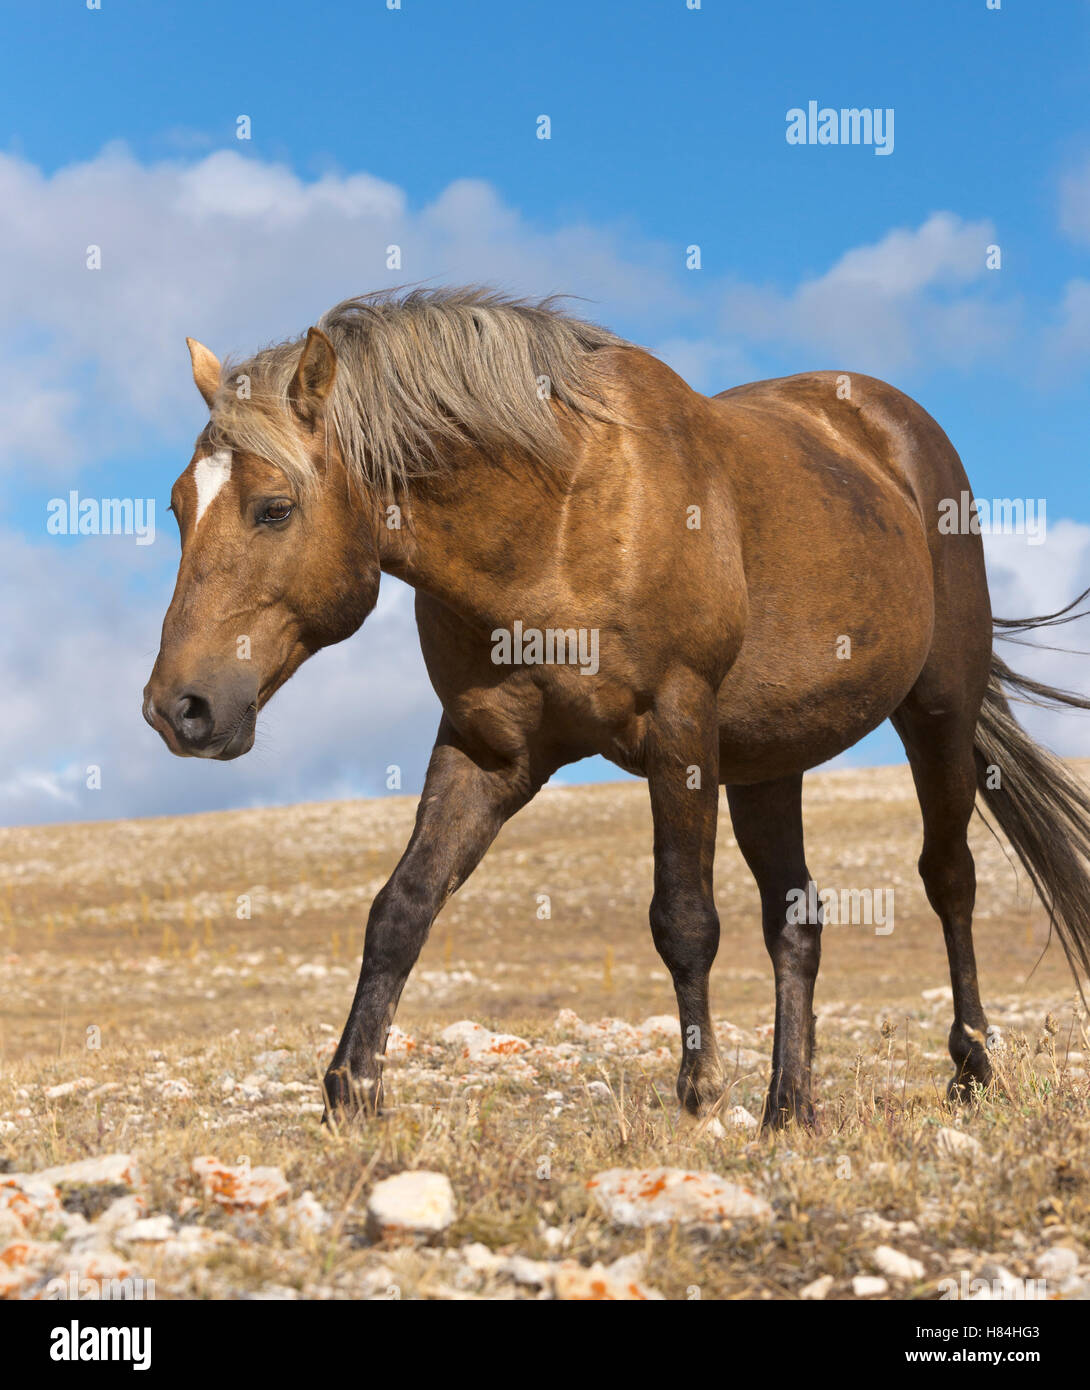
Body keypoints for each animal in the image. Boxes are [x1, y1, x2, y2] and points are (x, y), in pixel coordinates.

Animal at [142, 286, 1090, 1129]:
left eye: (274, 508)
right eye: (179, 506)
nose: (177, 710)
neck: (557, 519)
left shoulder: (679, 729)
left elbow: (684, 920)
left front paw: (700, 1093)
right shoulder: (486, 752)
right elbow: (401, 908)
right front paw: (351, 1091)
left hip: (937, 713)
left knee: (950, 879)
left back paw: (970, 1068)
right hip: (769, 763)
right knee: (797, 923)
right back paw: (791, 1109)